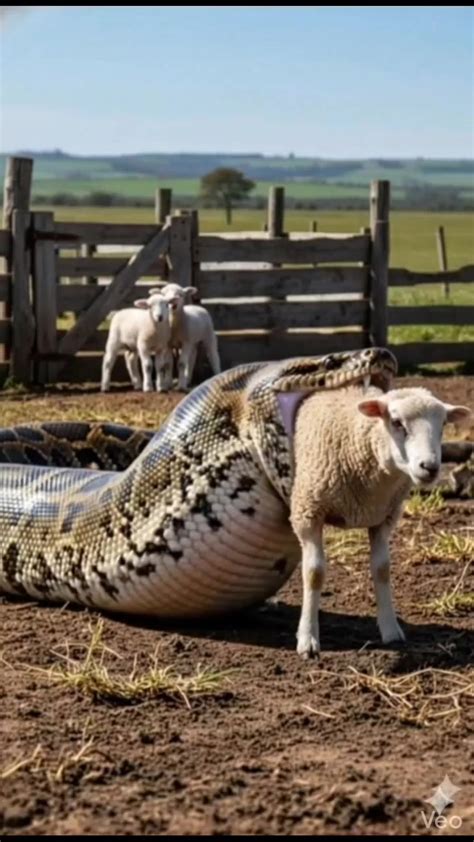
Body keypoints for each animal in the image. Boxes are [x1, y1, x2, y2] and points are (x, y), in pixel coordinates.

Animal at [287, 385, 470, 658]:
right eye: (396, 423)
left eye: (444, 424)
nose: (430, 467)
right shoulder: (308, 514)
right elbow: (314, 573)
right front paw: (308, 638)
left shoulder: (383, 518)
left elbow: (382, 570)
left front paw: (390, 629)